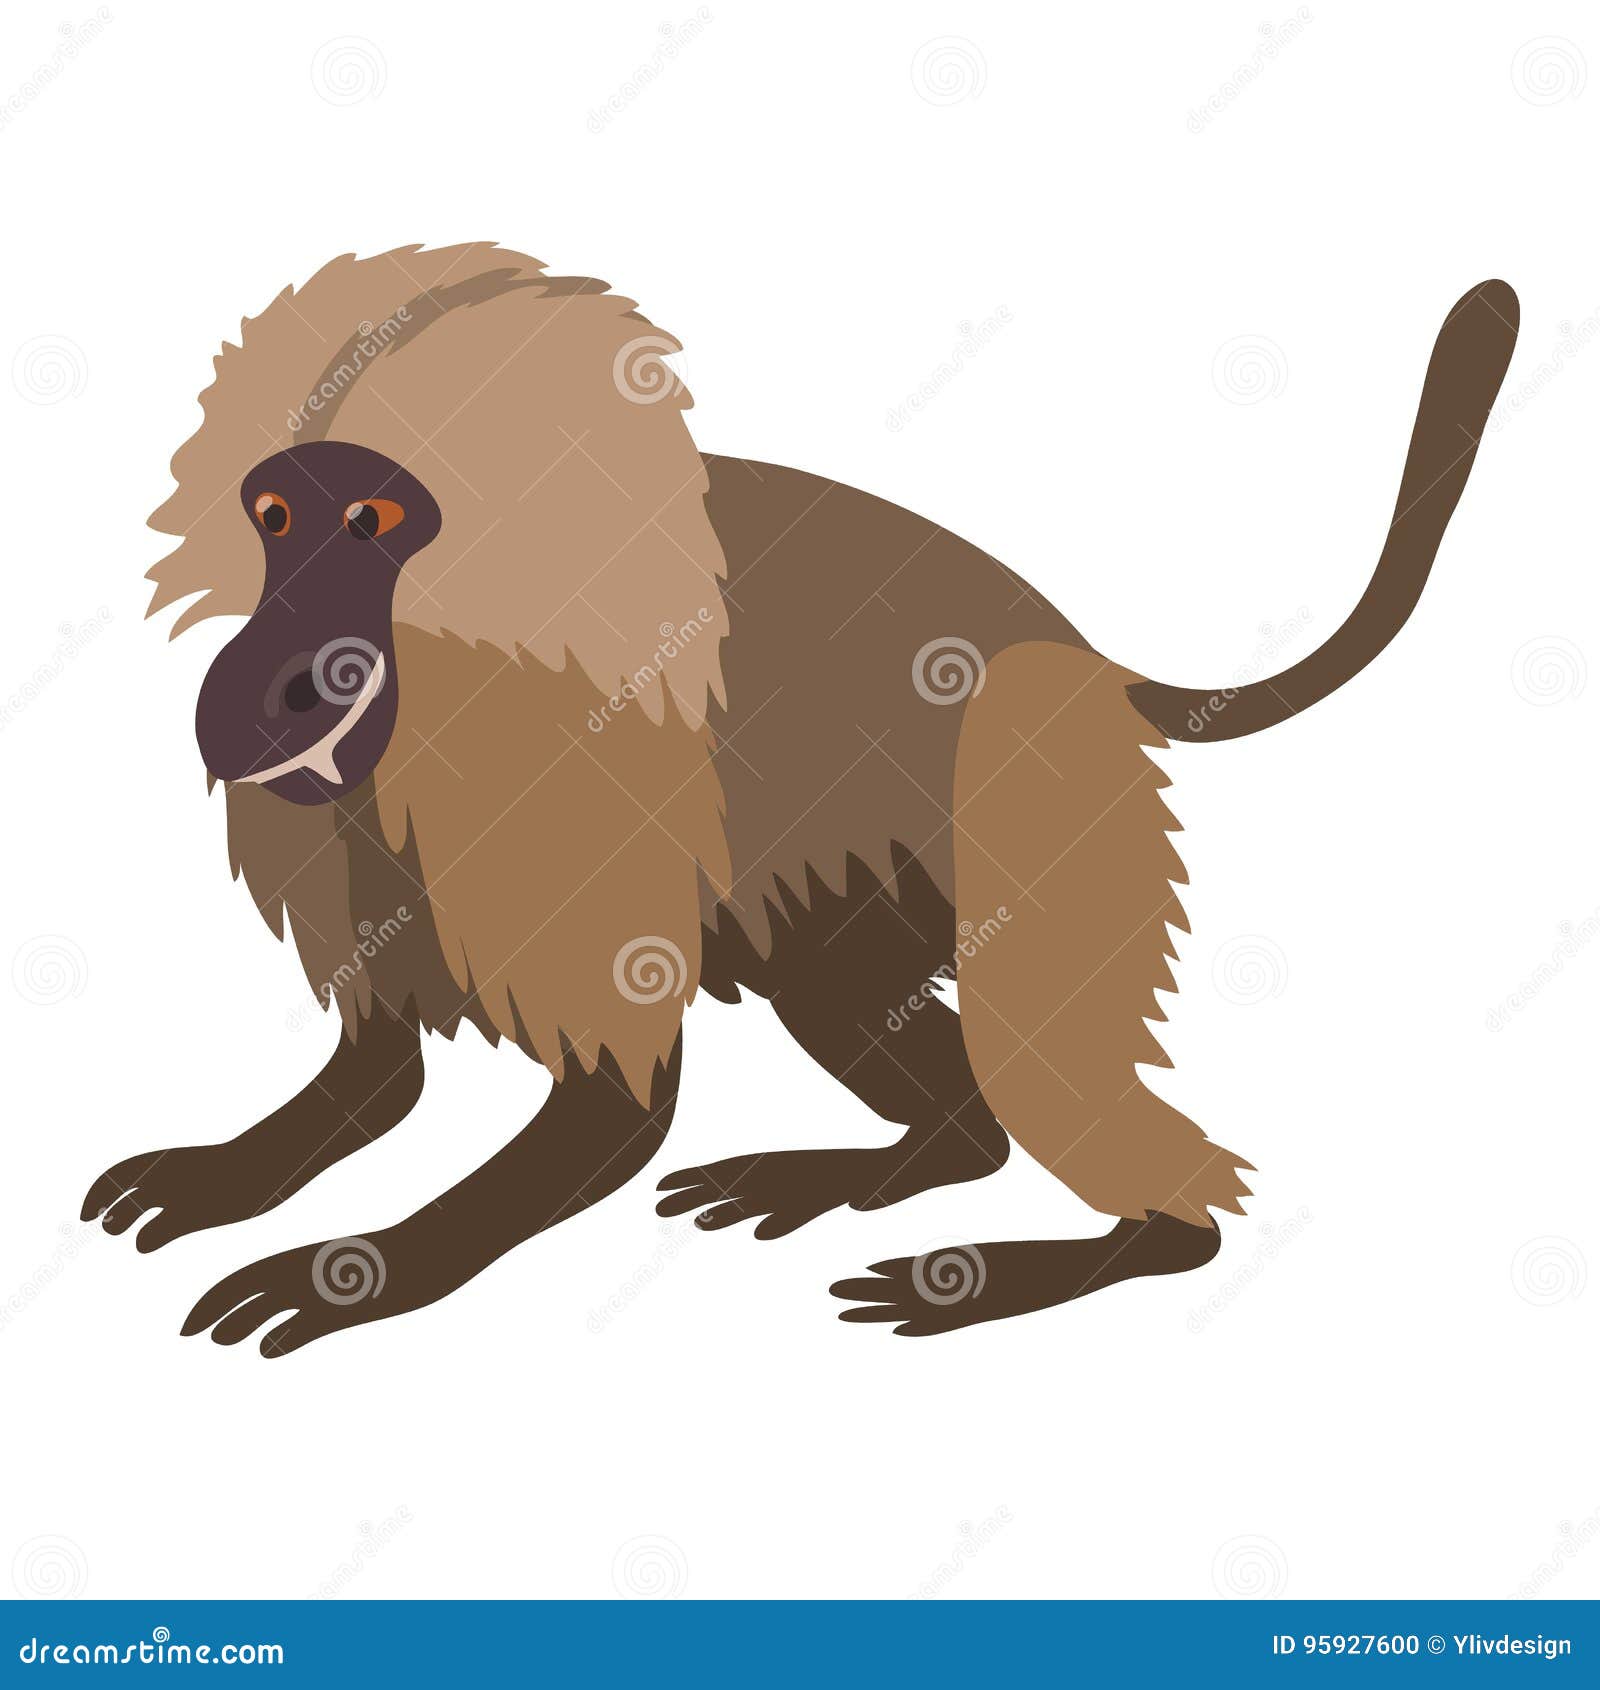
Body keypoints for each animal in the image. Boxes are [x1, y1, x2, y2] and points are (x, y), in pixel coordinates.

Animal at [80, 245, 1518, 1351]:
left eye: (373, 523)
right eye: (275, 517)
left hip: (1029, 767)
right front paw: (235, 1171)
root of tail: (1083, 660)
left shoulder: (575, 796)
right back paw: (892, 1167)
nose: (269, 690)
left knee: (1083, 1100)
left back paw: (1030, 1264)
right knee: (896, 1038)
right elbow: (377, 1080)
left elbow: (613, 1117)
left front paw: (357, 1272)